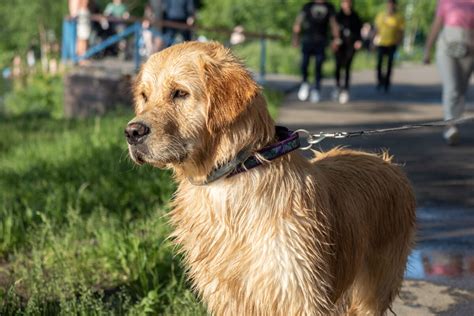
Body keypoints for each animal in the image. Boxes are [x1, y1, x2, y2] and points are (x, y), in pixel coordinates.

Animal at [125, 42, 414, 316]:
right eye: (144, 96)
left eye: (180, 93)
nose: (132, 132)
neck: (236, 170)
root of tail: (388, 163)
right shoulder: (225, 293)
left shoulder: (297, 291)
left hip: (372, 290)